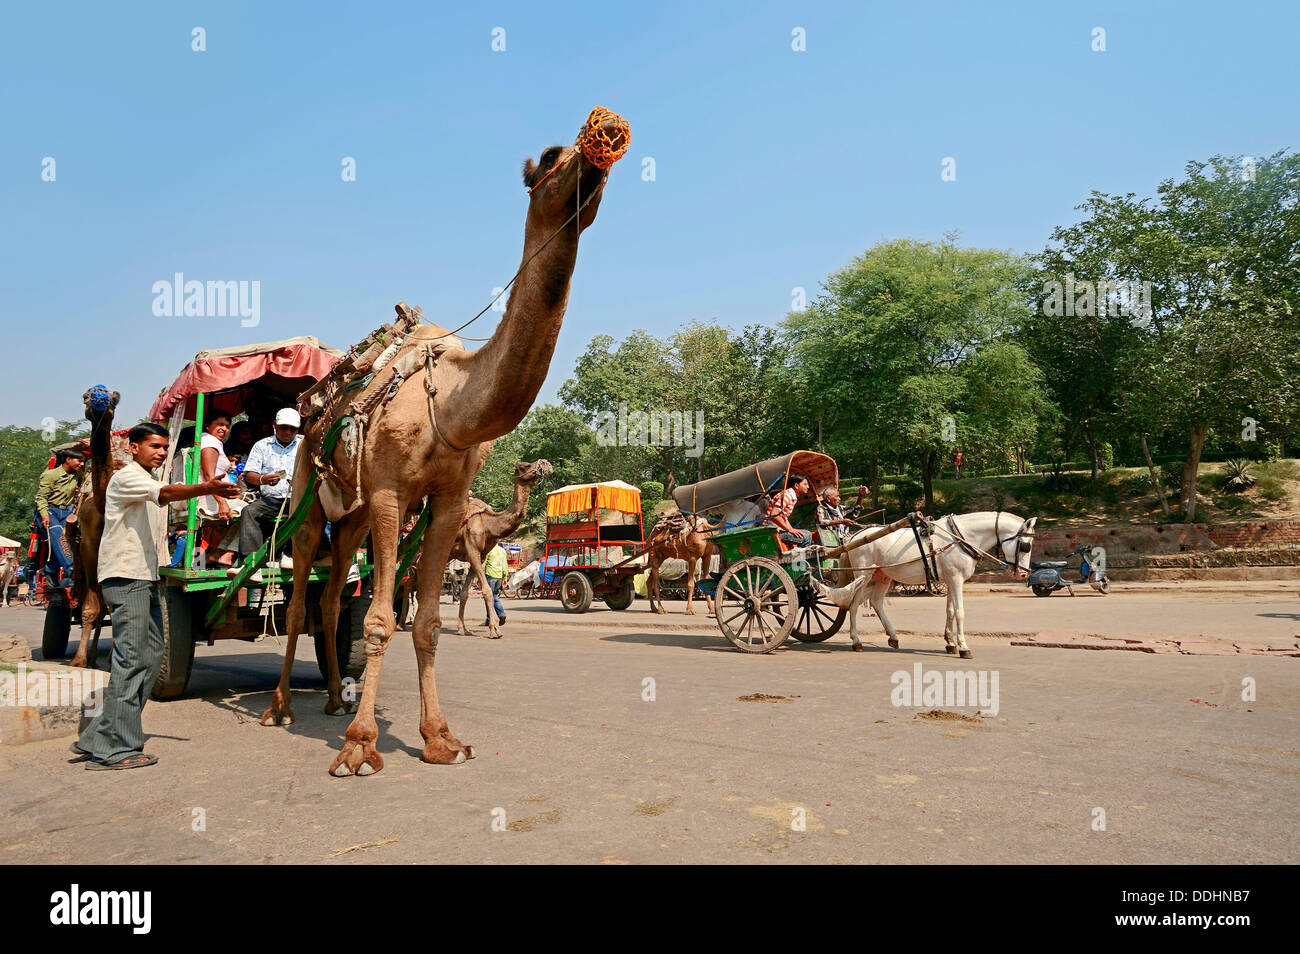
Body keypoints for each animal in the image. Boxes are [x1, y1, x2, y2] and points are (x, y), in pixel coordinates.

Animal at [453, 459, 553, 638]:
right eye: (525, 465)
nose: (546, 463)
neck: (488, 523)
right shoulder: (472, 549)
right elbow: (486, 590)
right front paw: (494, 629)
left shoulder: (479, 555)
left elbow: (465, 593)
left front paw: (462, 629)